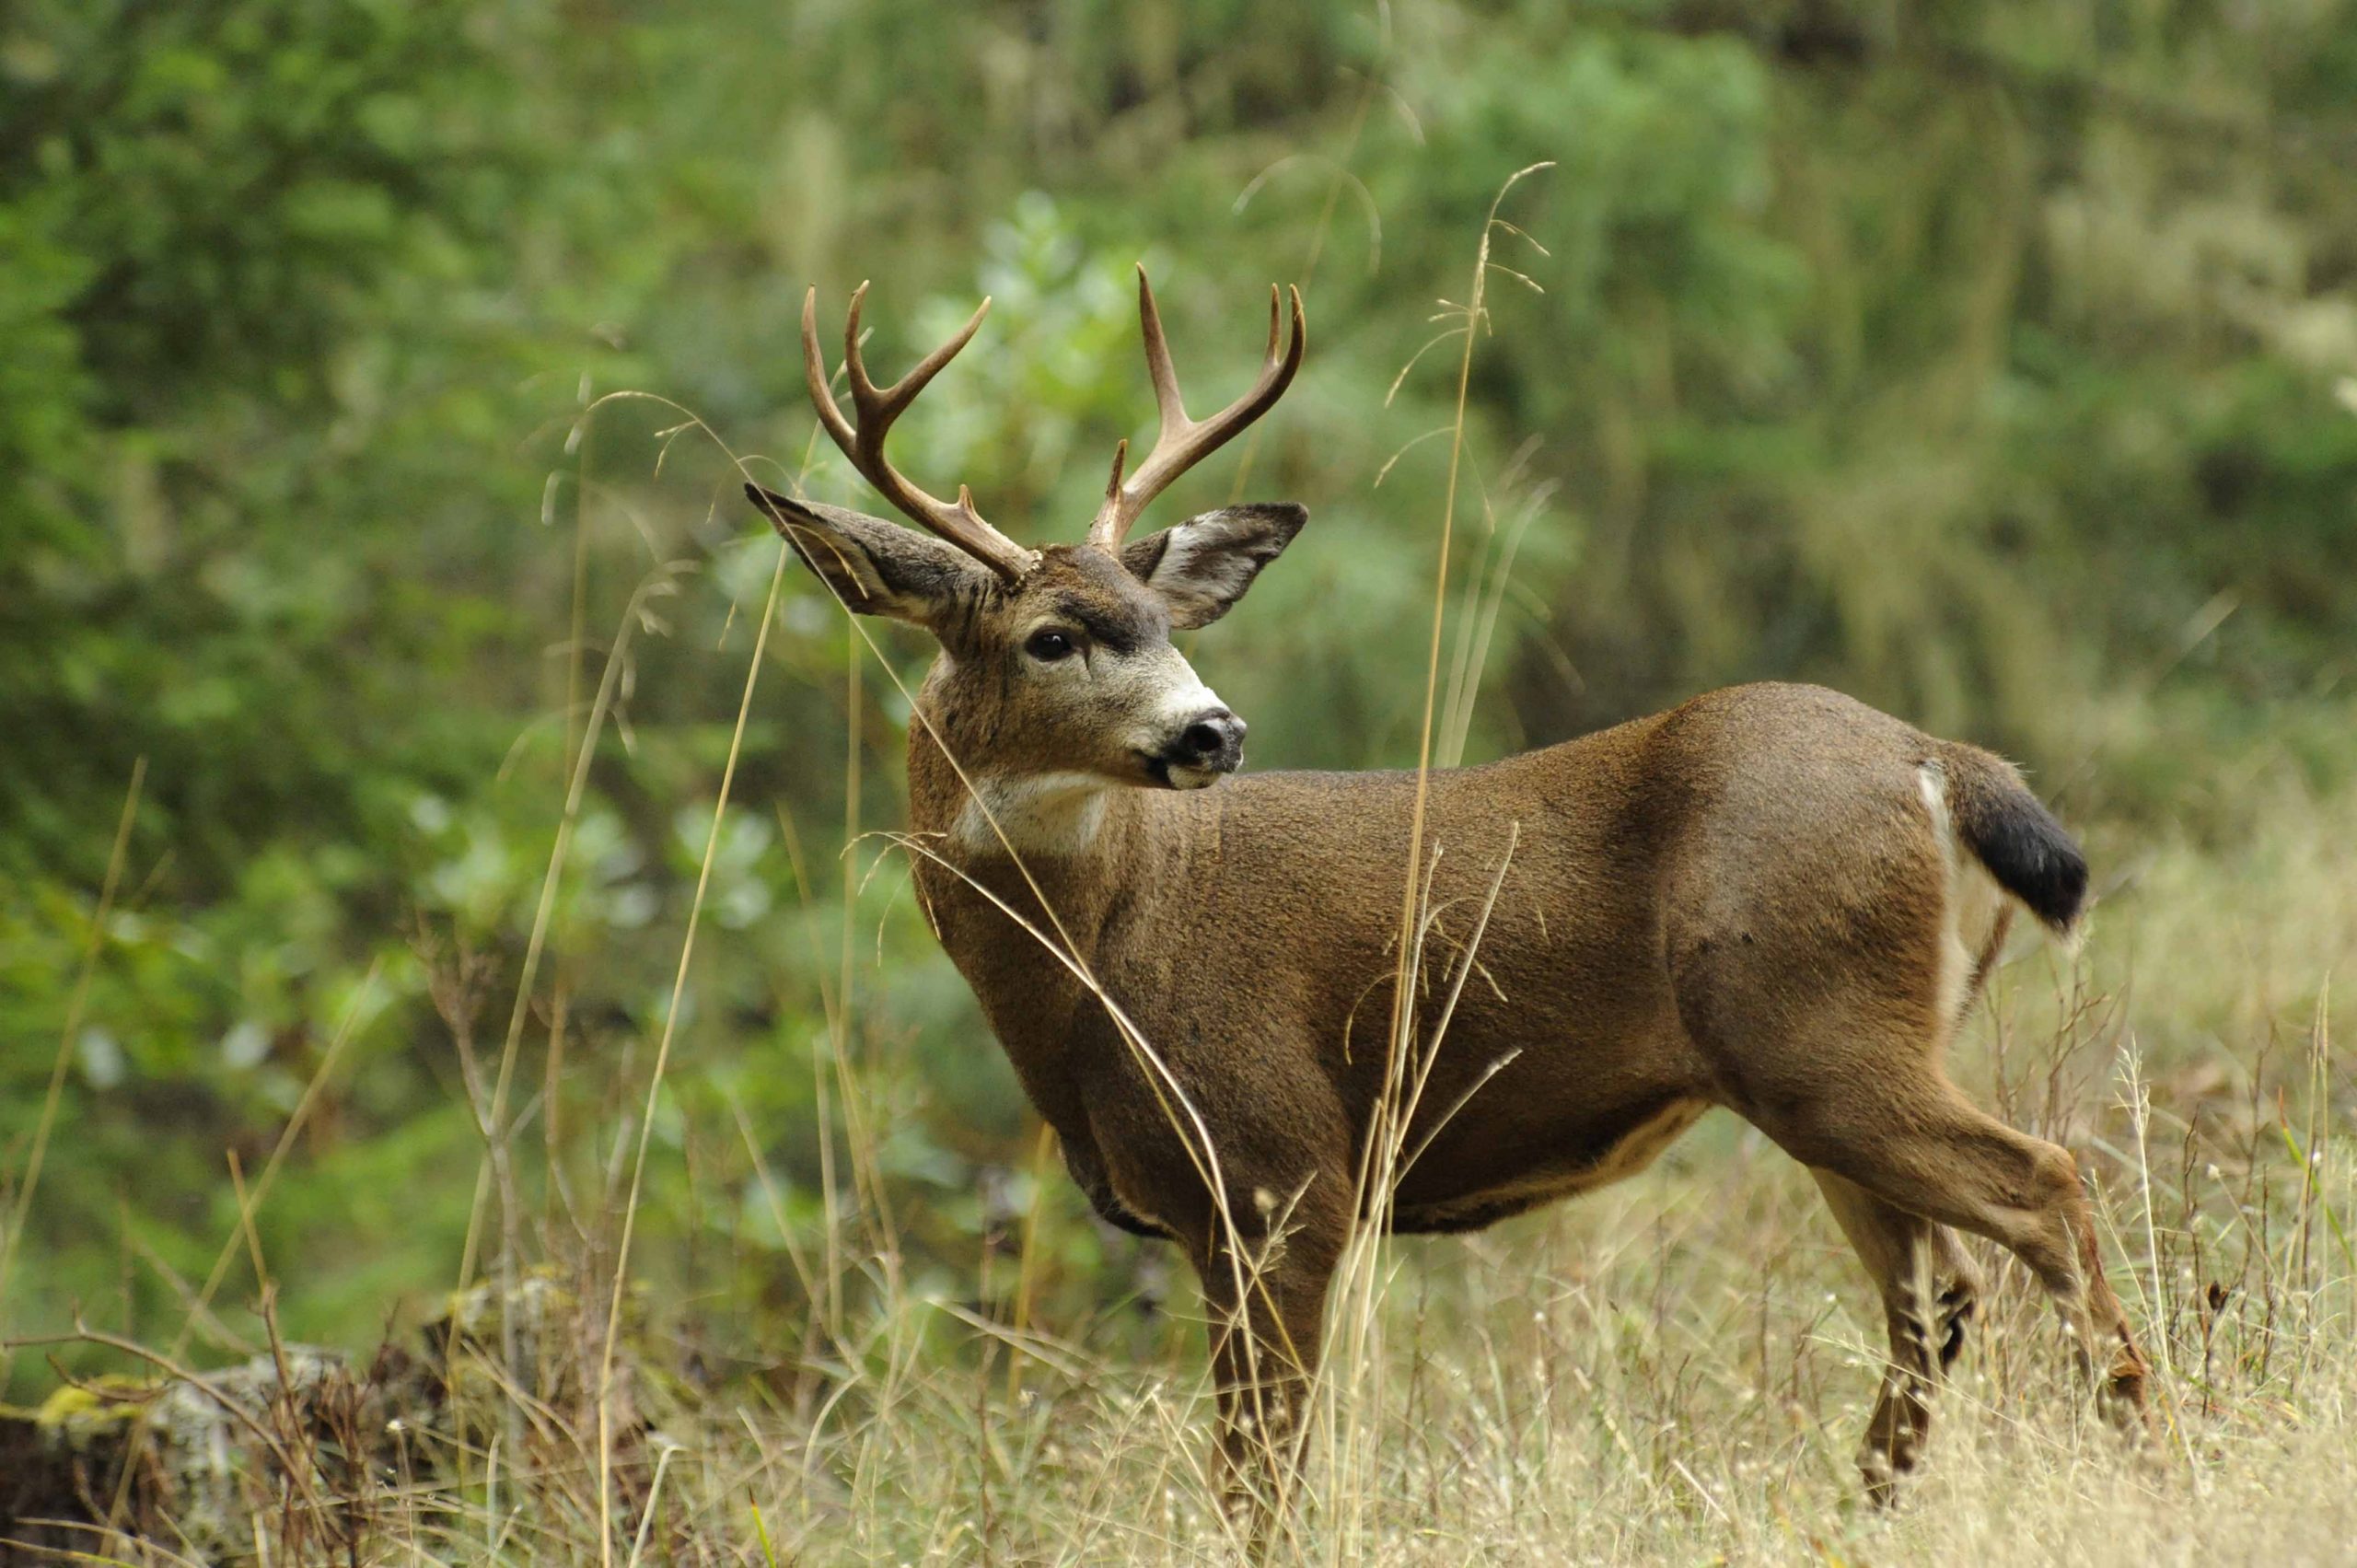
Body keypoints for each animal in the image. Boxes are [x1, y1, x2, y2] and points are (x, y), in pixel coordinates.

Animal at [743, 267, 2152, 1532]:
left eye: (1158, 618)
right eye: (1053, 636)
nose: (1212, 729)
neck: (1102, 956)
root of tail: (1938, 760)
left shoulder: (1282, 1168)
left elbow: (1261, 1480)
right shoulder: (1223, 1208)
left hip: (1818, 1030)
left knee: (2043, 1187)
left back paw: (2141, 1441)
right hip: (1832, 1056)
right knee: (1938, 1291)